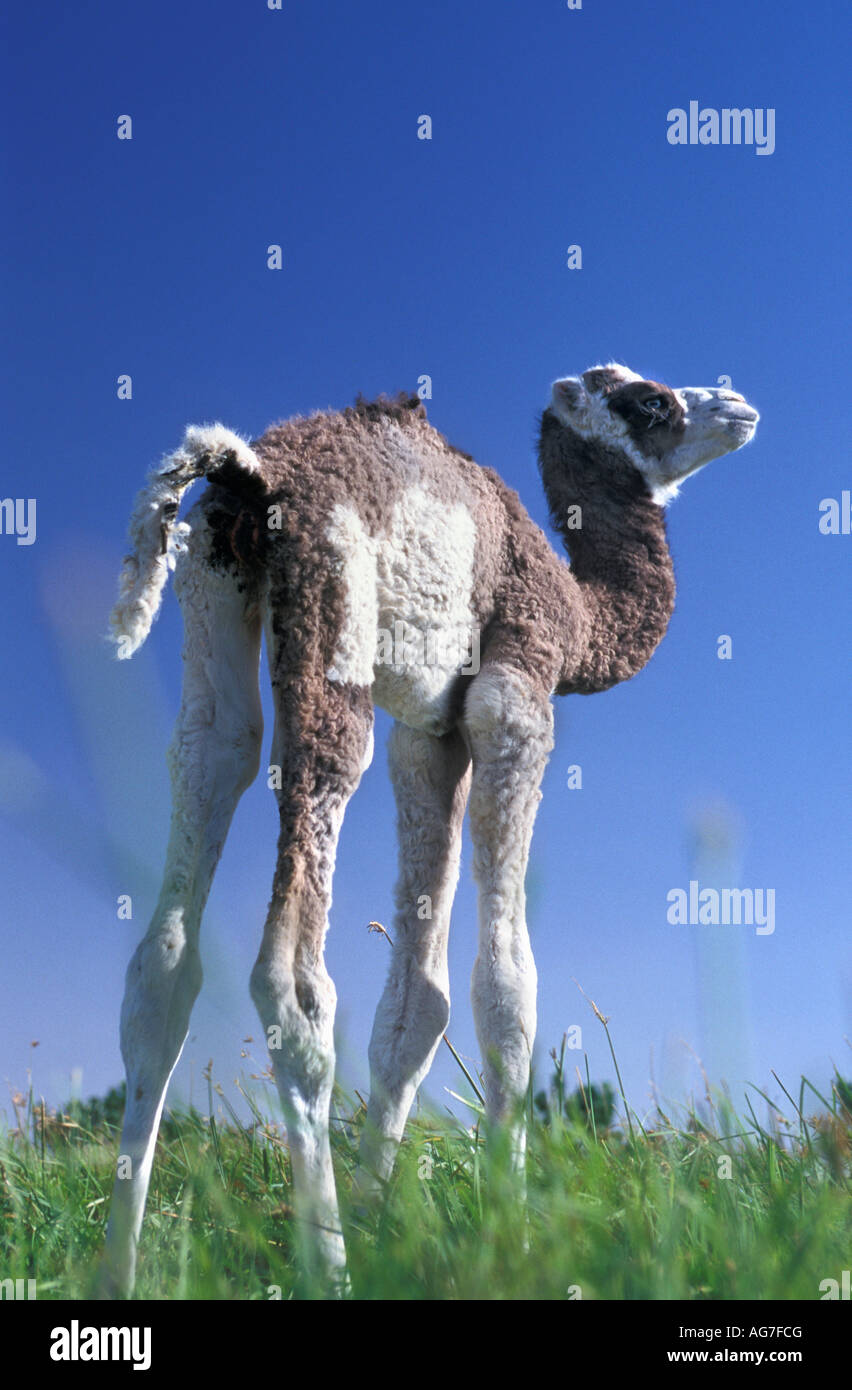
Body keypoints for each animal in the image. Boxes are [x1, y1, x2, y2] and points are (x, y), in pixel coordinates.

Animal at [99, 363, 759, 1295]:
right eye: (649, 401)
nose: (737, 408)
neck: (579, 607)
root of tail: (250, 471)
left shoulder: (431, 732)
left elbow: (413, 1007)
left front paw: (384, 1216)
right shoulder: (516, 693)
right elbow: (506, 990)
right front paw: (512, 1230)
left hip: (213, 596)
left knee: (197, 830)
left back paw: (115, 1271)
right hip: (333, 620)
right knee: (294, 973)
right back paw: (326, 1264)